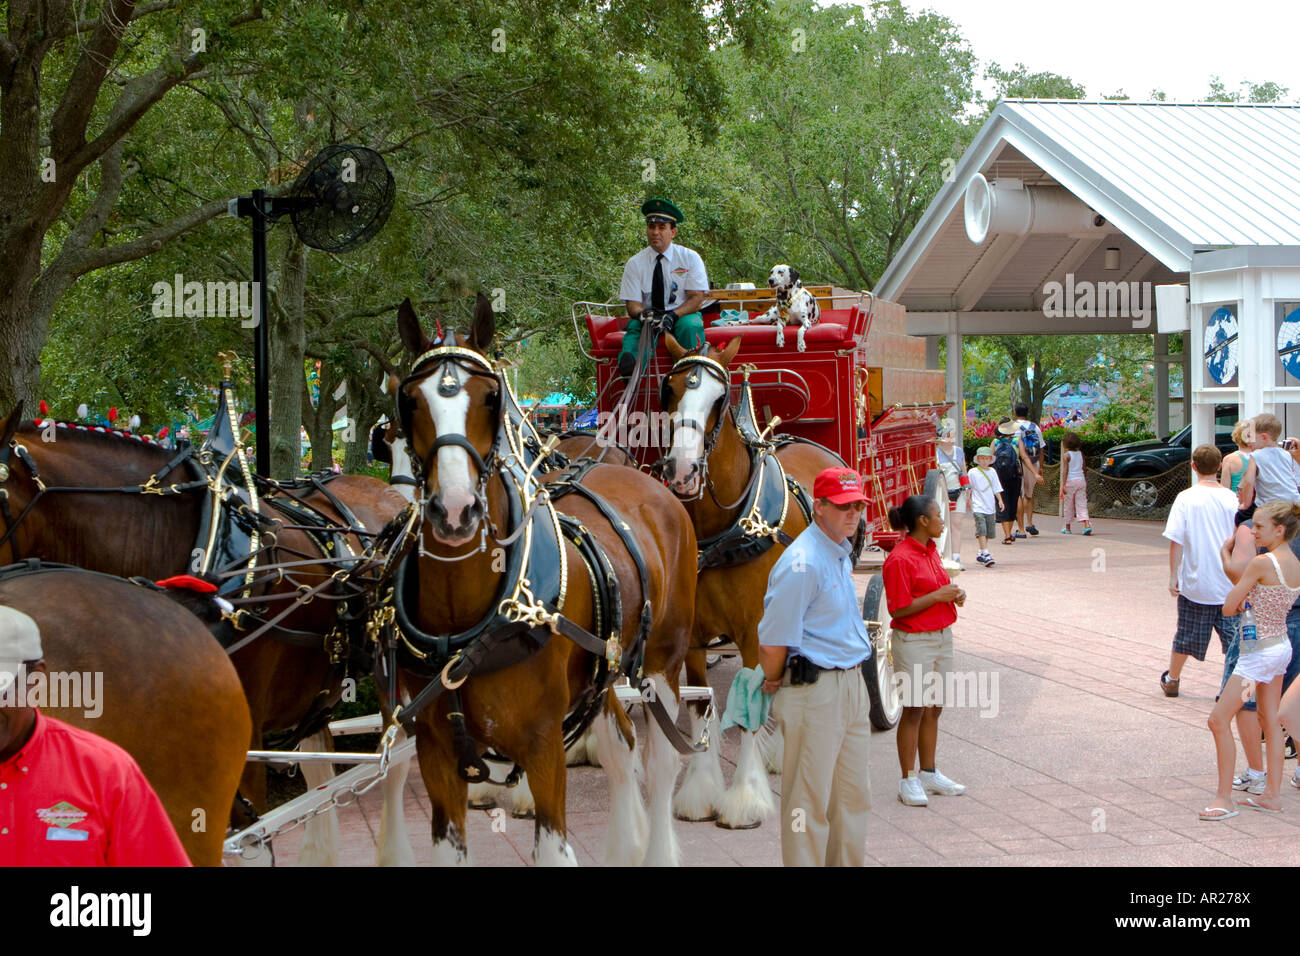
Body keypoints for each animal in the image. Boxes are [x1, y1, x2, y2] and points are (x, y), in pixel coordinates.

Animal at [391, 293, 698, 865]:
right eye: (410, 401)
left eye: (491, 397)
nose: (455, 511)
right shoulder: (435, 750)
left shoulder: (543, 745)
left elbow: (554, 848)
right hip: (607, 665)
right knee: (622, 748)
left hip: (665, 658)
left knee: (662, 762)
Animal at [657, 333, 852, 828]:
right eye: (669, 390)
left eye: (719, 398)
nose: (682, 470)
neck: (719, 532)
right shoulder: (692, 636)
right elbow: (701, 704)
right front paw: (701, 791)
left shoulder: (753, 630)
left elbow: (748, 706)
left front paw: (745, 798)